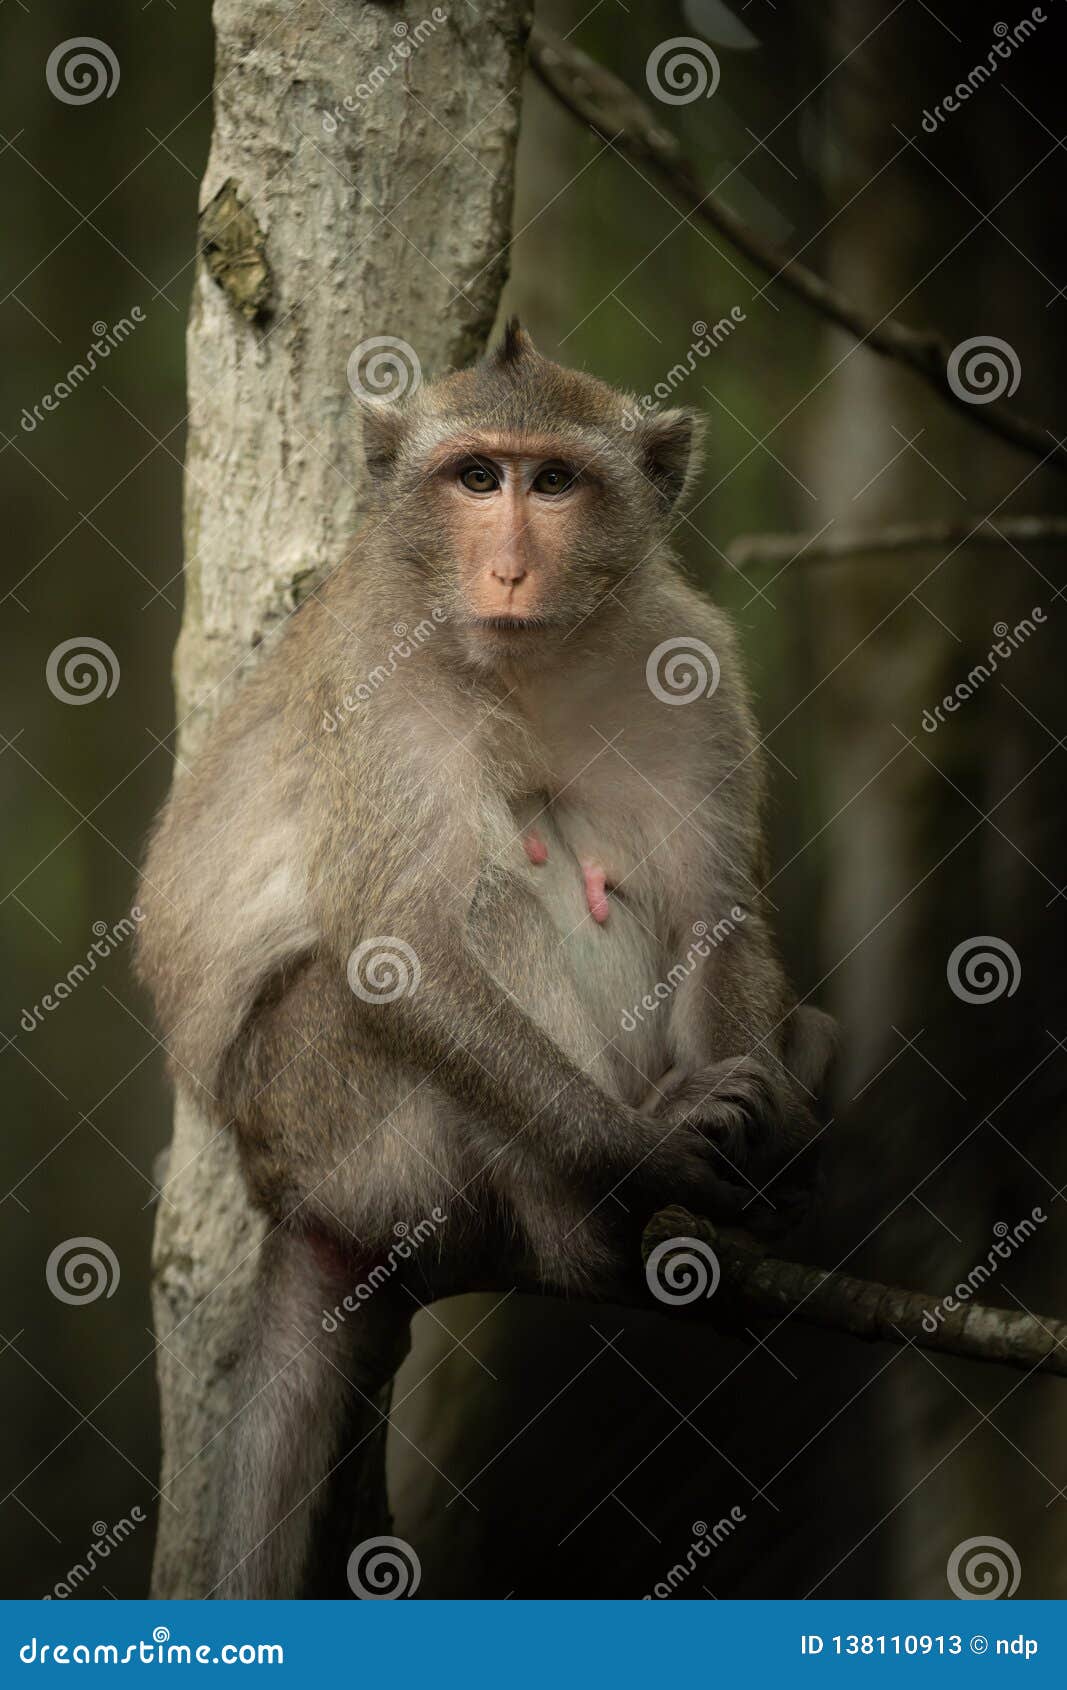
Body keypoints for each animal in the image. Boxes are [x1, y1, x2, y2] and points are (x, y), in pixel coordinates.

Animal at [135, 320, 835, 1598]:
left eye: (551, 481)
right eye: (473, 477)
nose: (506, 565)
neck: (526, 663)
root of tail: (277, 1192)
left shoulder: (687, 657)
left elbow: (715, 919)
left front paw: (757, 1142)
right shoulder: (379, 680)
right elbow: (400, 949)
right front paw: (654, 1152)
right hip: (328, 1115)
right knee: (492, 895)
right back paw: (580, 1226)